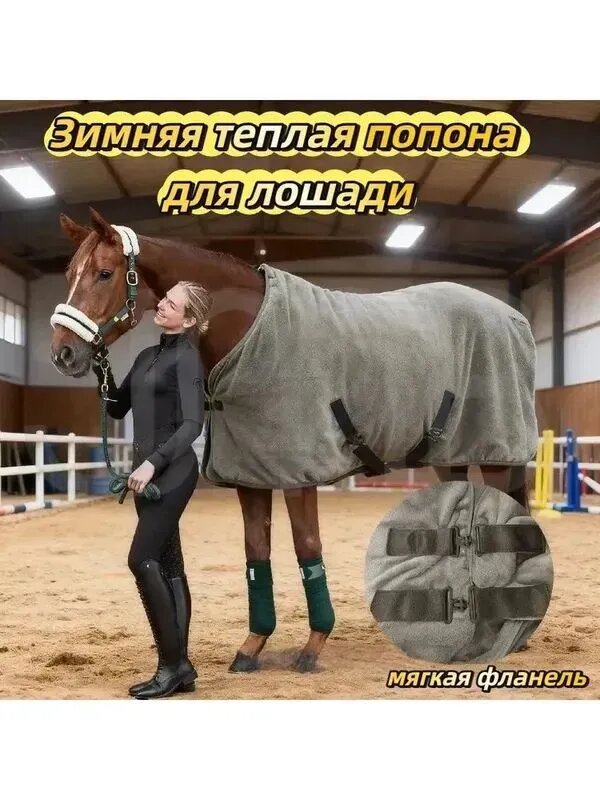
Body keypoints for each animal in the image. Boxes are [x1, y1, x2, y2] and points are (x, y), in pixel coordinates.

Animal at [49, 207, 533, 673]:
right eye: (70, 271)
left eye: (104, 273)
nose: (63, 354)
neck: (251, 332)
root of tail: (513, 317)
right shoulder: (250, 474)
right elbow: (256, 553)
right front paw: (253, 645)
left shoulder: (299, 474)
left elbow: (307, 549)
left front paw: (314, 644)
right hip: (451, 454)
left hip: (497, 454)